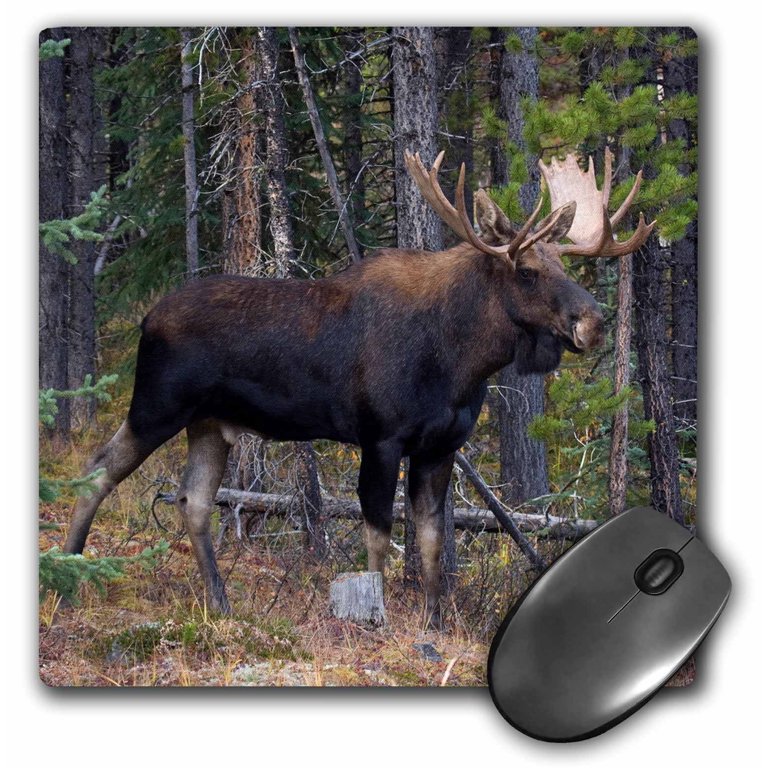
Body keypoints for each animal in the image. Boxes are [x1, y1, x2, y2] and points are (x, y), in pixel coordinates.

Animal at [64, 148, 653, 629]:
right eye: (528, 270)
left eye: (563, 265)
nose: (593, 323)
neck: (461, 363)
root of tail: (145, 320)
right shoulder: (380, 437)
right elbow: (379, 534)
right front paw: (378, 616)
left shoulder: (441, 447)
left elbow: (432, 540)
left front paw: (434, 623)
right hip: (157, 405)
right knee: (95, 469)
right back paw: (69, 576)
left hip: (209, 424)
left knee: (194, 500)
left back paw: (220, 602)